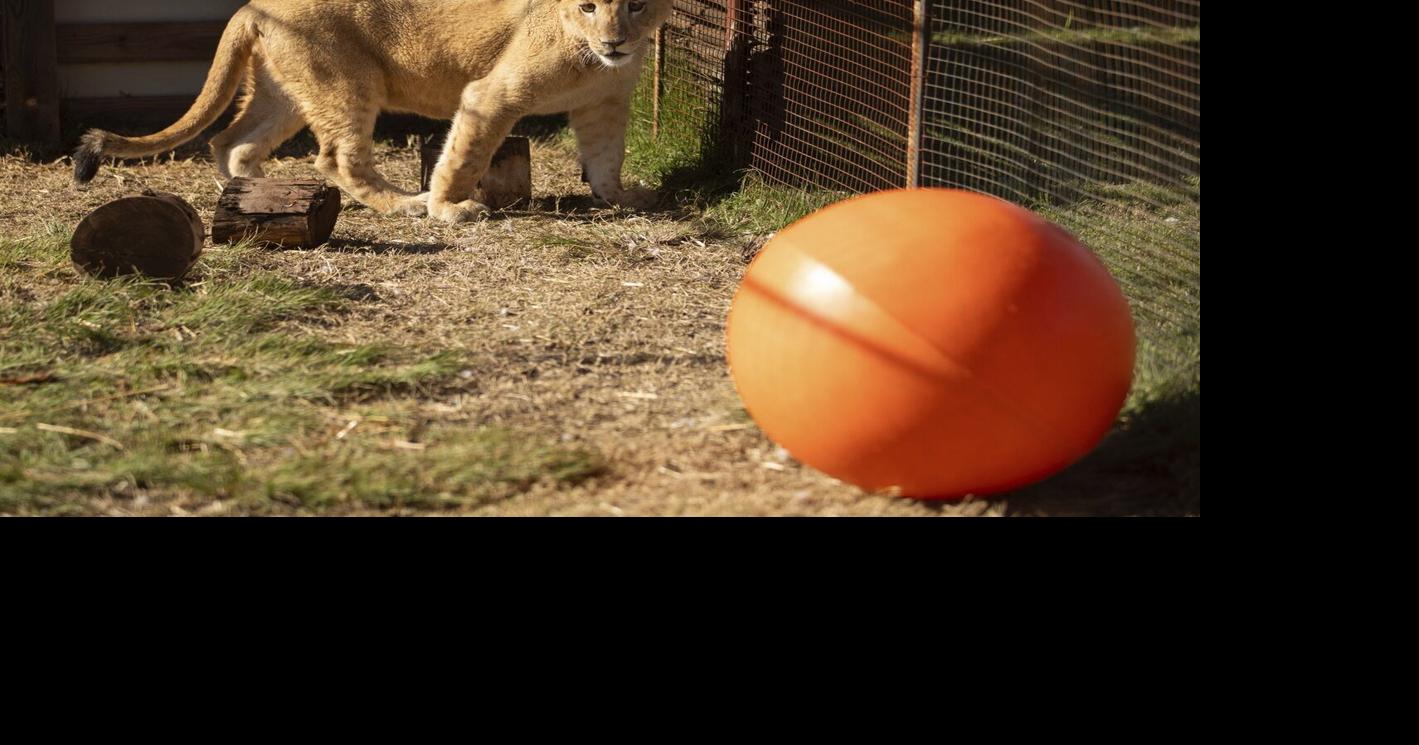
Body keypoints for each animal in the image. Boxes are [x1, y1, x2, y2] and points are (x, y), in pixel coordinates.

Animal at [73, 0, 673, 223]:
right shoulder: (490, 95)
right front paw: (449, 207)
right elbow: (464, 156)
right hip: (345, 84)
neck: (594, 61)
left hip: (286, 90)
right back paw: (405, 202)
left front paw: (622, 198)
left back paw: (252, 192)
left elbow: (606, 158)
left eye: (636, 4)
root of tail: (252, 6)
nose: (615, 41)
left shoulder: (604, 105)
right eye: (588, 5)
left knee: (232, 141)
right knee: (337, 158)